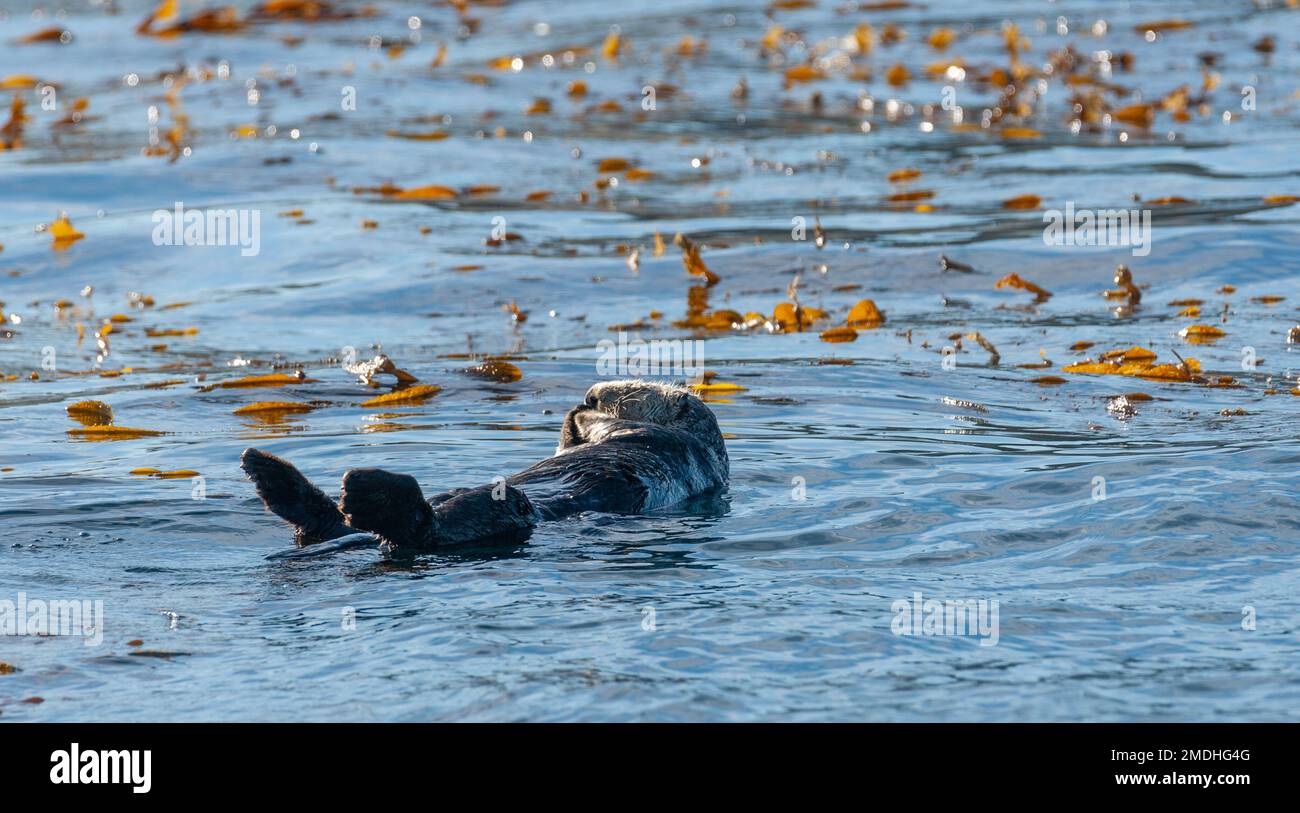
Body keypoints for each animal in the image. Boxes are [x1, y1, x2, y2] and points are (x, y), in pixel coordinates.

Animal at [241, 379, 729, 556]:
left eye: (627, 391)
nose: (590, 394)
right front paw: (572, 418)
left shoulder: (666, 441)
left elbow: (617, 431)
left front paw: (585, 415)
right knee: (326, 526)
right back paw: (272, 475)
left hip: (506, 510)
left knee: (424, 529)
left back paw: (369, 493)